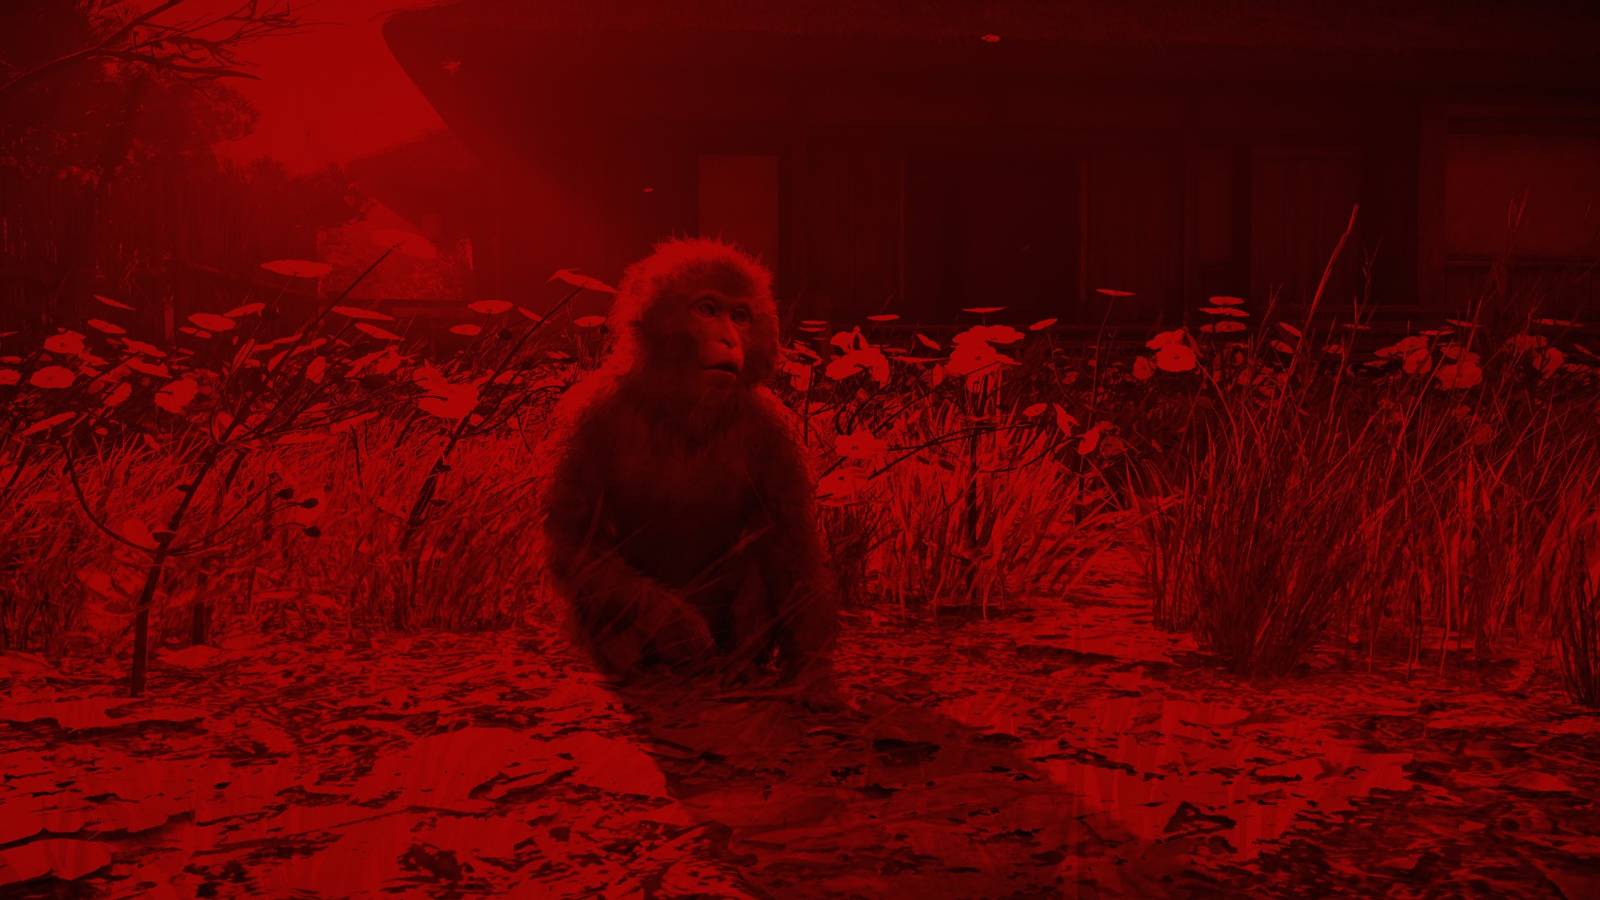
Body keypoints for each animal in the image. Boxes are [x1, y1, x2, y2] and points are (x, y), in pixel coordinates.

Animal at [539, 238, 838, 693]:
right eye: (707, 310)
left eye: (740, 317)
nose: (730, 340)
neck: (680, 410)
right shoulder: (589, 414)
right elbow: (574, 542)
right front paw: (674, 623)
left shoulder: (773, 430)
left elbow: (793, 548)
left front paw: (815, 678)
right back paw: (635, 667)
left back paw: (741, 665)